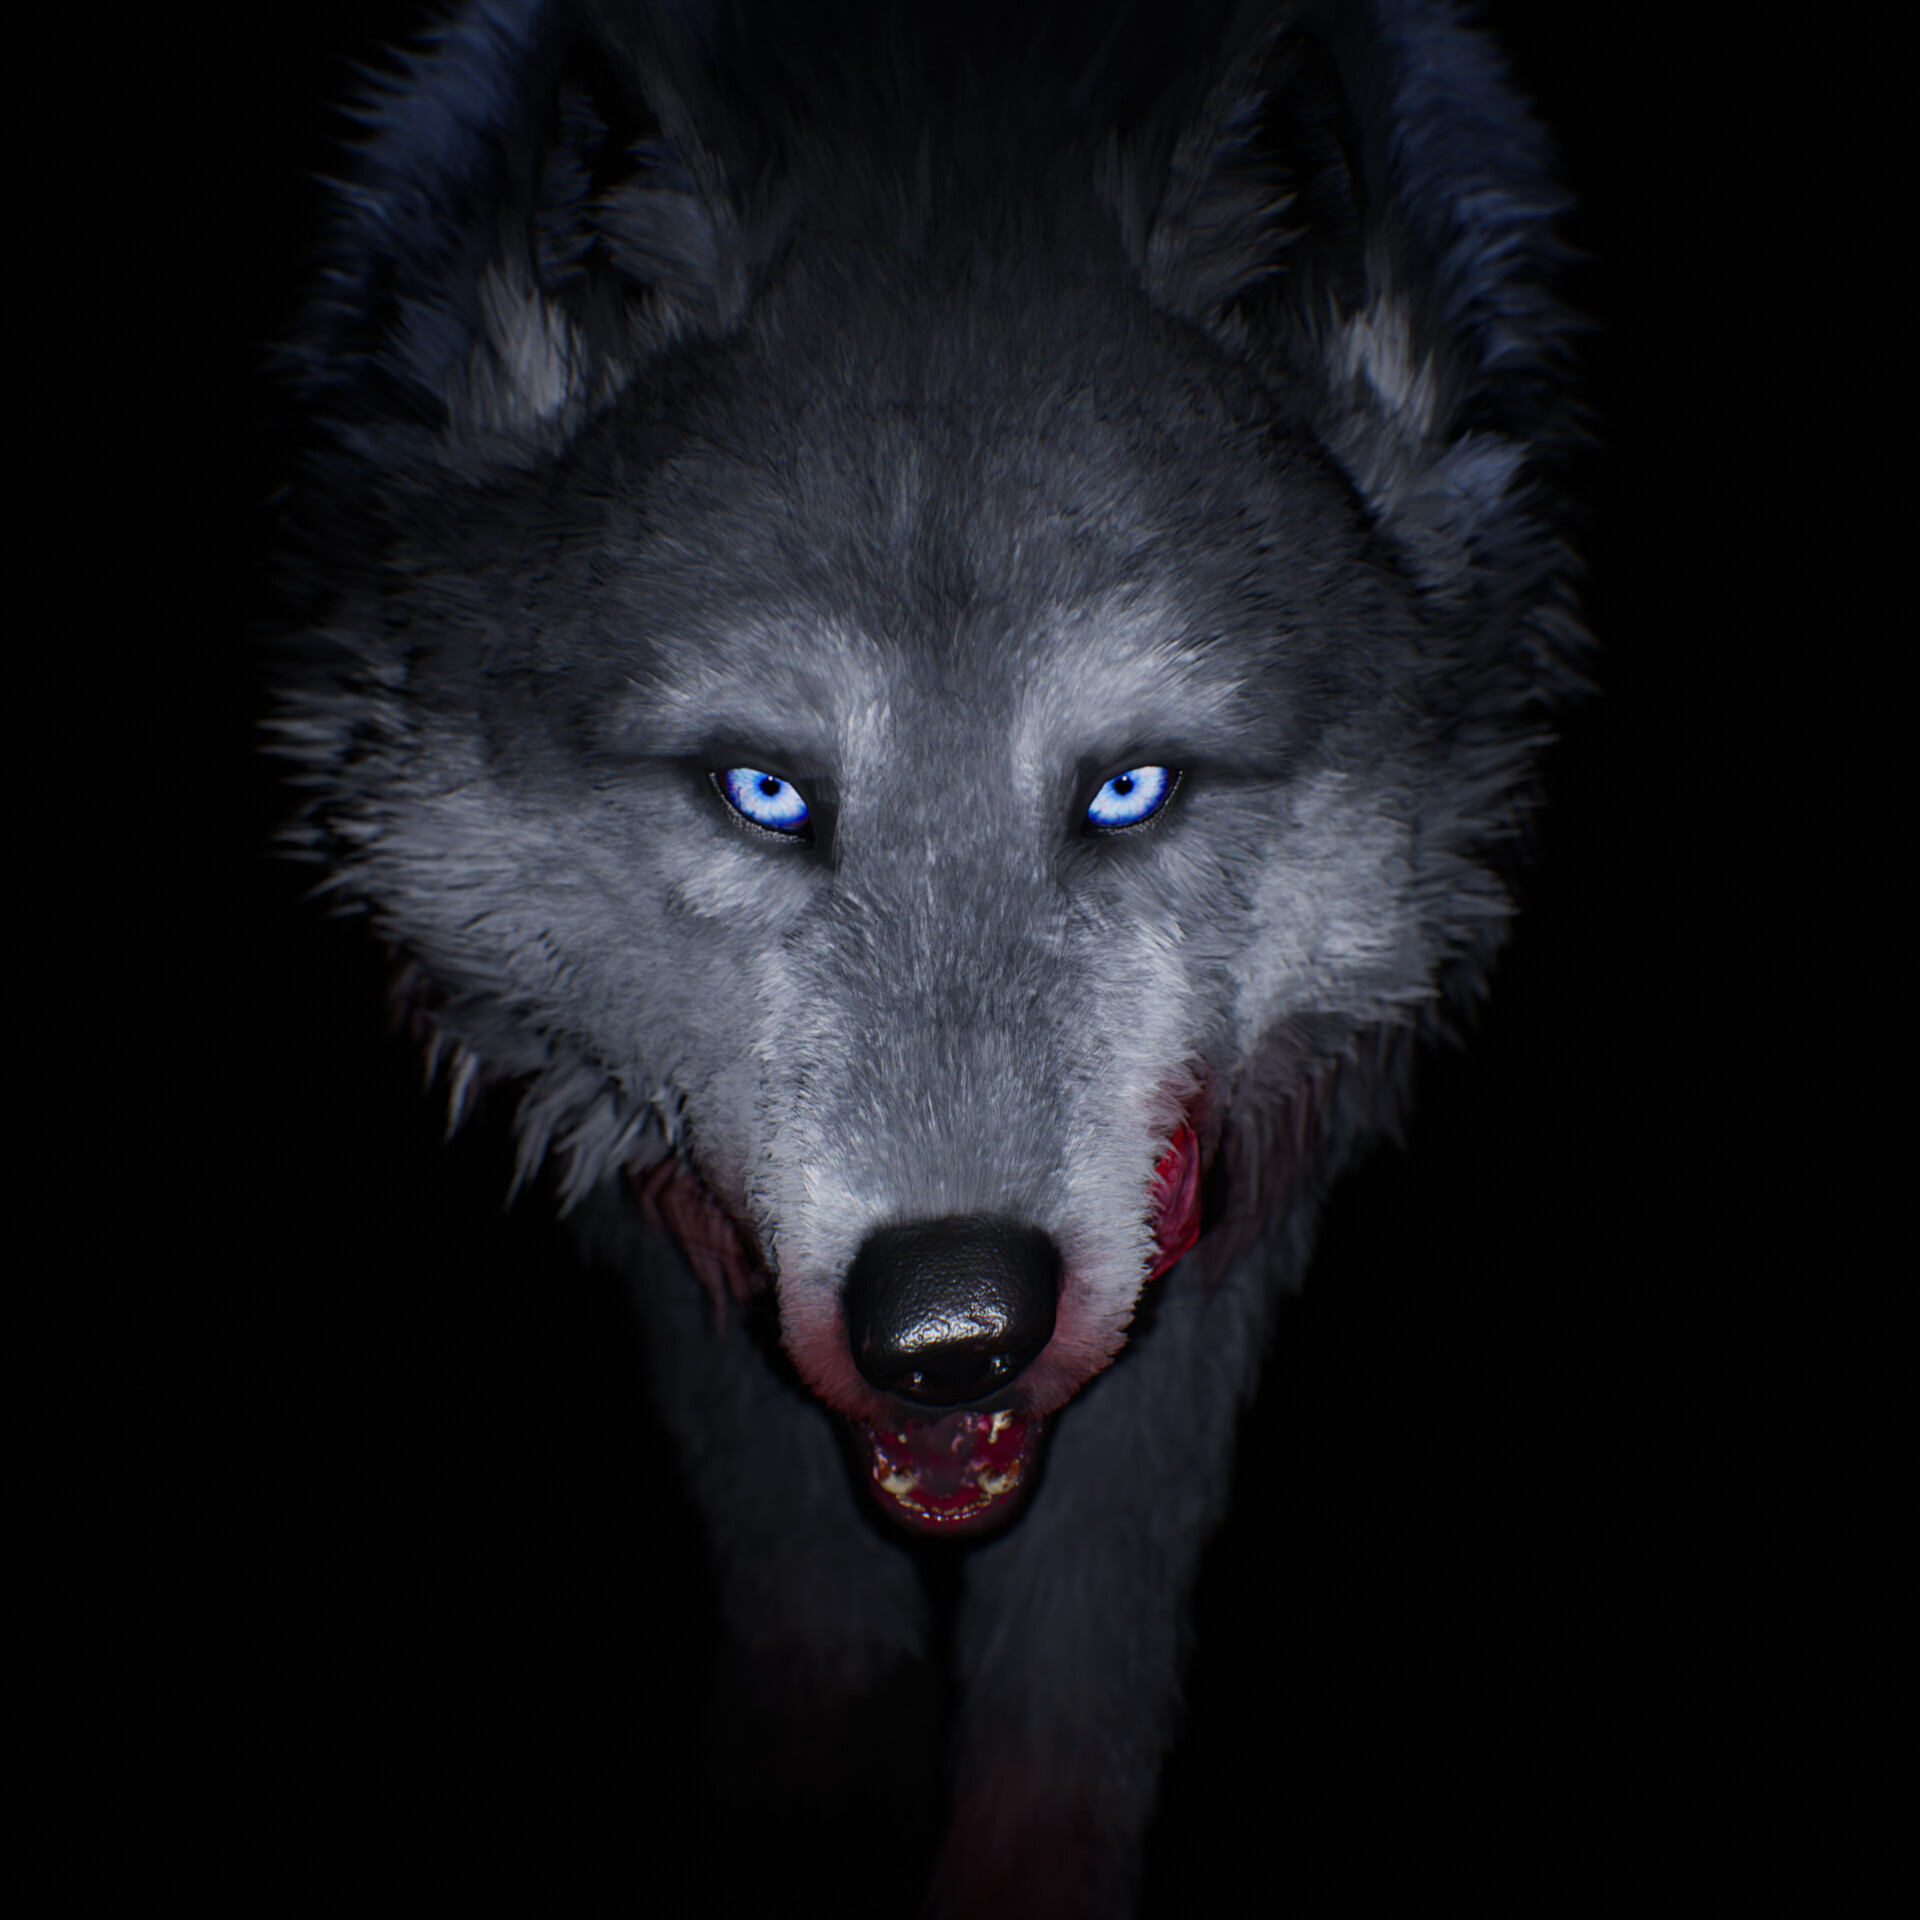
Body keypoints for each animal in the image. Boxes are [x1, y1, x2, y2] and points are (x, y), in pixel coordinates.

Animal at [271, 0, 1583, 1910]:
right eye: (763, 790)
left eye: (1128, 788)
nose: (953, 1323)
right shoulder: (648, 1187)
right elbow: (811, 1612)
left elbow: (1078, 1664)